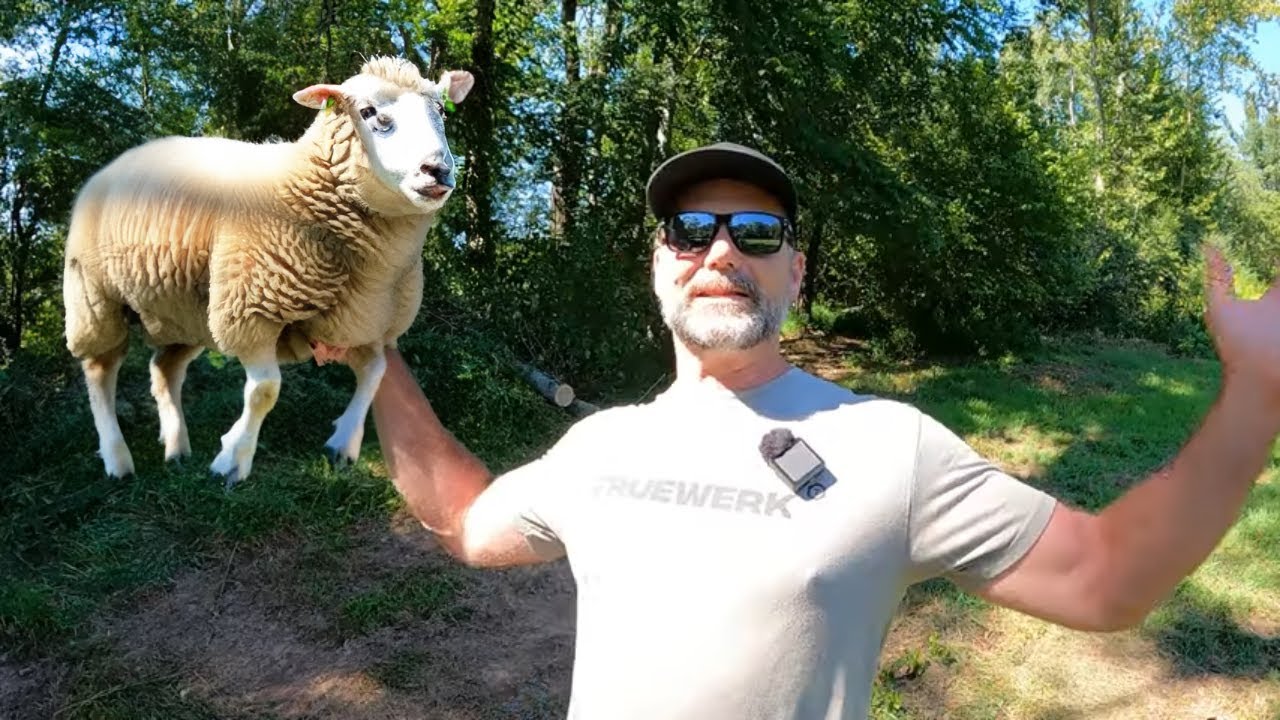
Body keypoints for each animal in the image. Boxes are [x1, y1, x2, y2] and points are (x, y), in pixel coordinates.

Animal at [61, 56, 474, 488]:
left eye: (442, 109)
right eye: (368, 112)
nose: (437, 171)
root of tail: (110, 167)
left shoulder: (365, 322)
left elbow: (375, 374)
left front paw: (343, 443)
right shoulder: (252, 310)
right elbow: (265, 391)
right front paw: (232, 460)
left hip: (185, 310)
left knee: (164, 370)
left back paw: (176, 448)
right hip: (94, 297)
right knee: (100, 372)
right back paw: (117, 458)